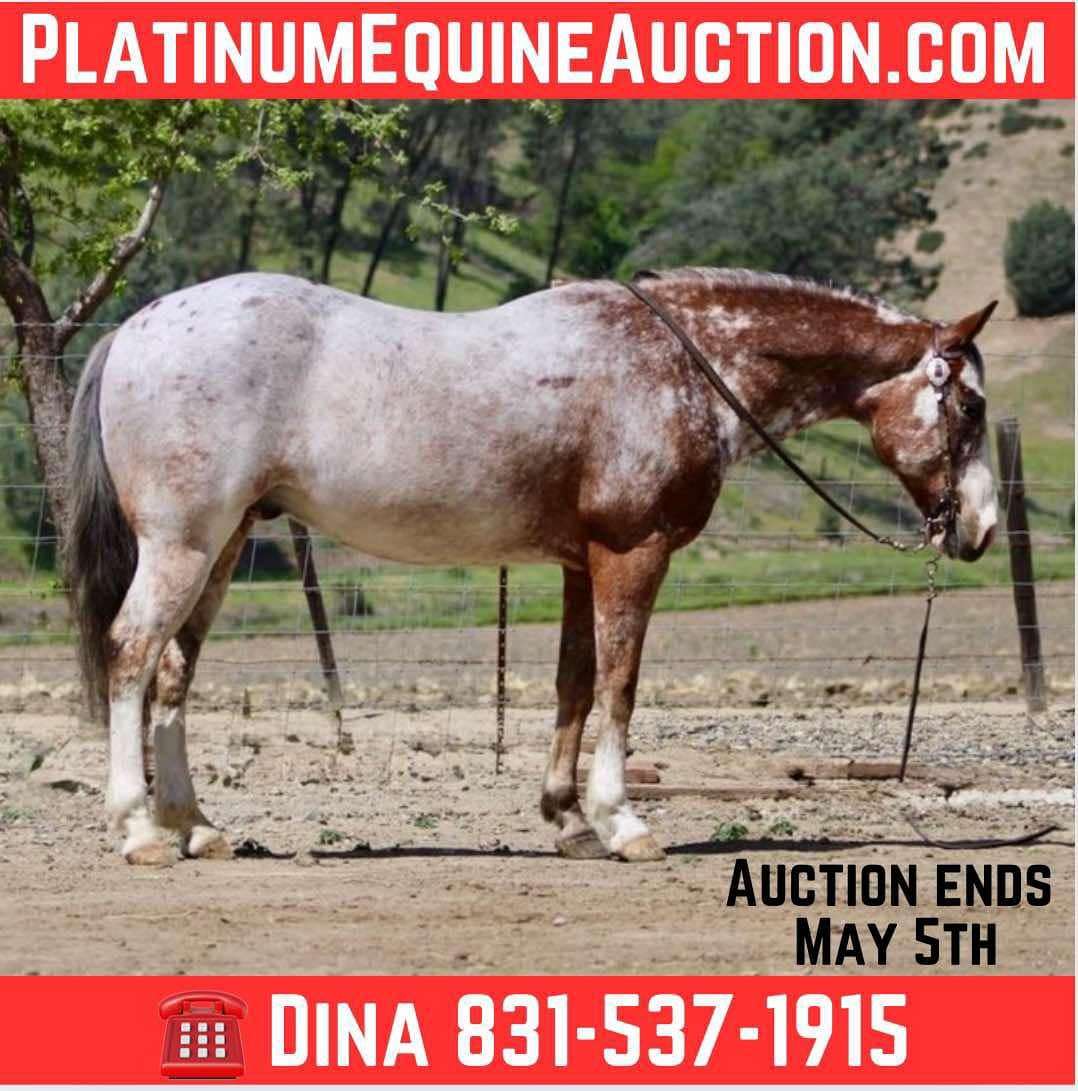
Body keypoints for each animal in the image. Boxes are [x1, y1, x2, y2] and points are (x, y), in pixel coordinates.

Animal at [65, 267, 999, 866]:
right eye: (969, 404)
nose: (983, 527)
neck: (681, 361)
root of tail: (136, 327)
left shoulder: (581, 564)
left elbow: (575, 683)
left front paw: (568, 819)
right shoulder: (632, 553)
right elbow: (620, 683)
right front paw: (623, 822)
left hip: (219, 548)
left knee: (174, 674)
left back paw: (195, 824)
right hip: (182, 546)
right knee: (130, 653)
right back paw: (140, 830)